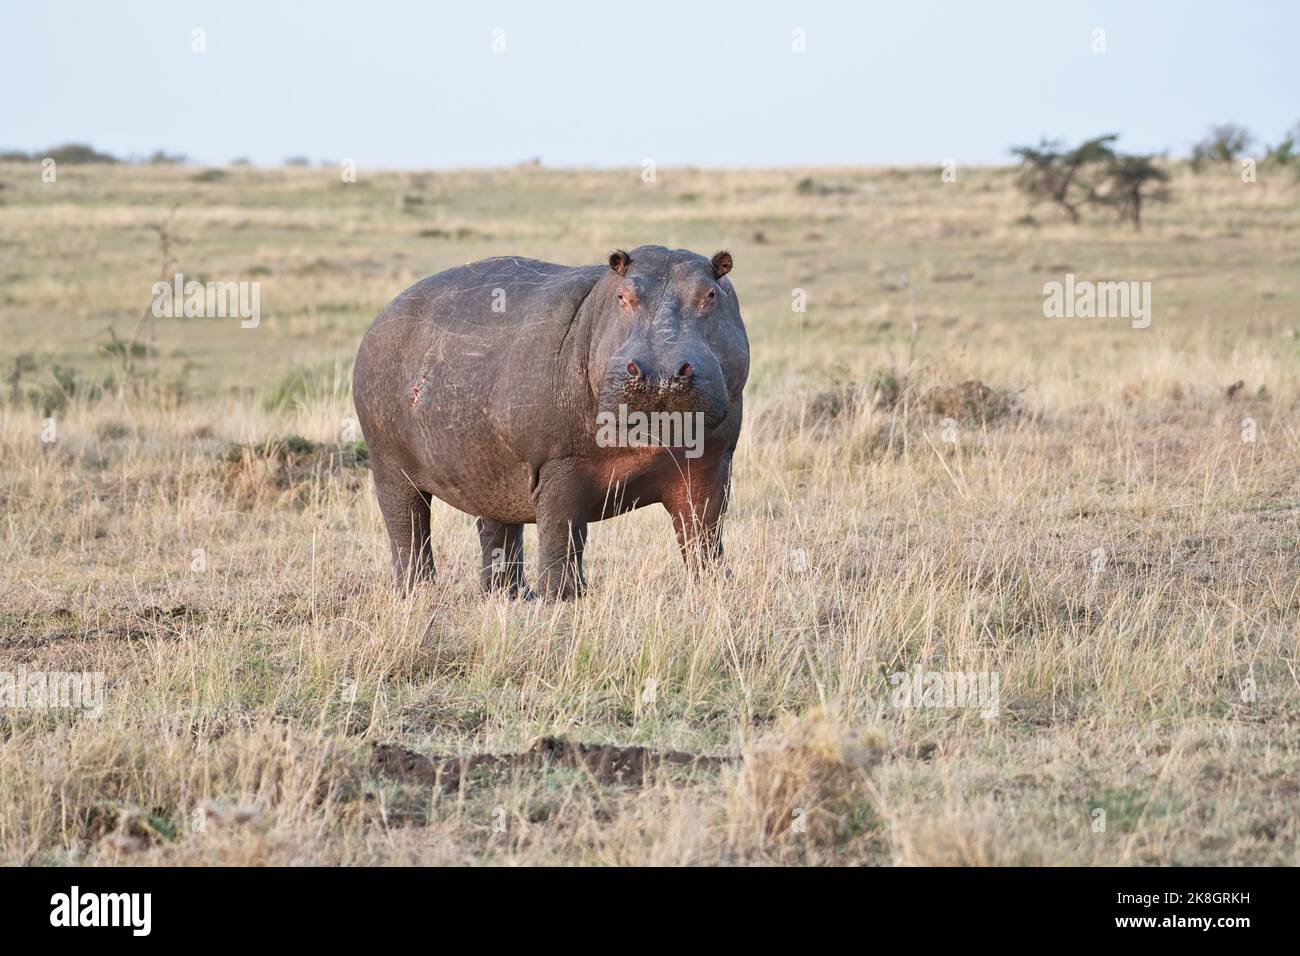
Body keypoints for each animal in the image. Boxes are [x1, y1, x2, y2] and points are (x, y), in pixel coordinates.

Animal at [352, 245, 749, 599]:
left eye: (711, 294)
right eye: (623, 296)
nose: (660, 373)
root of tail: (382, 315)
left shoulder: (711, 461)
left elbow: (704, 531)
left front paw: (715, 587)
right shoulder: (560, 463)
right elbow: (562, 530)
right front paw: (563, 597)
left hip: (489, 469)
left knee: (497, 530)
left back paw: (509, 596)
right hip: (390, 466)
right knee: (407, 526)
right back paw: (416, 592)